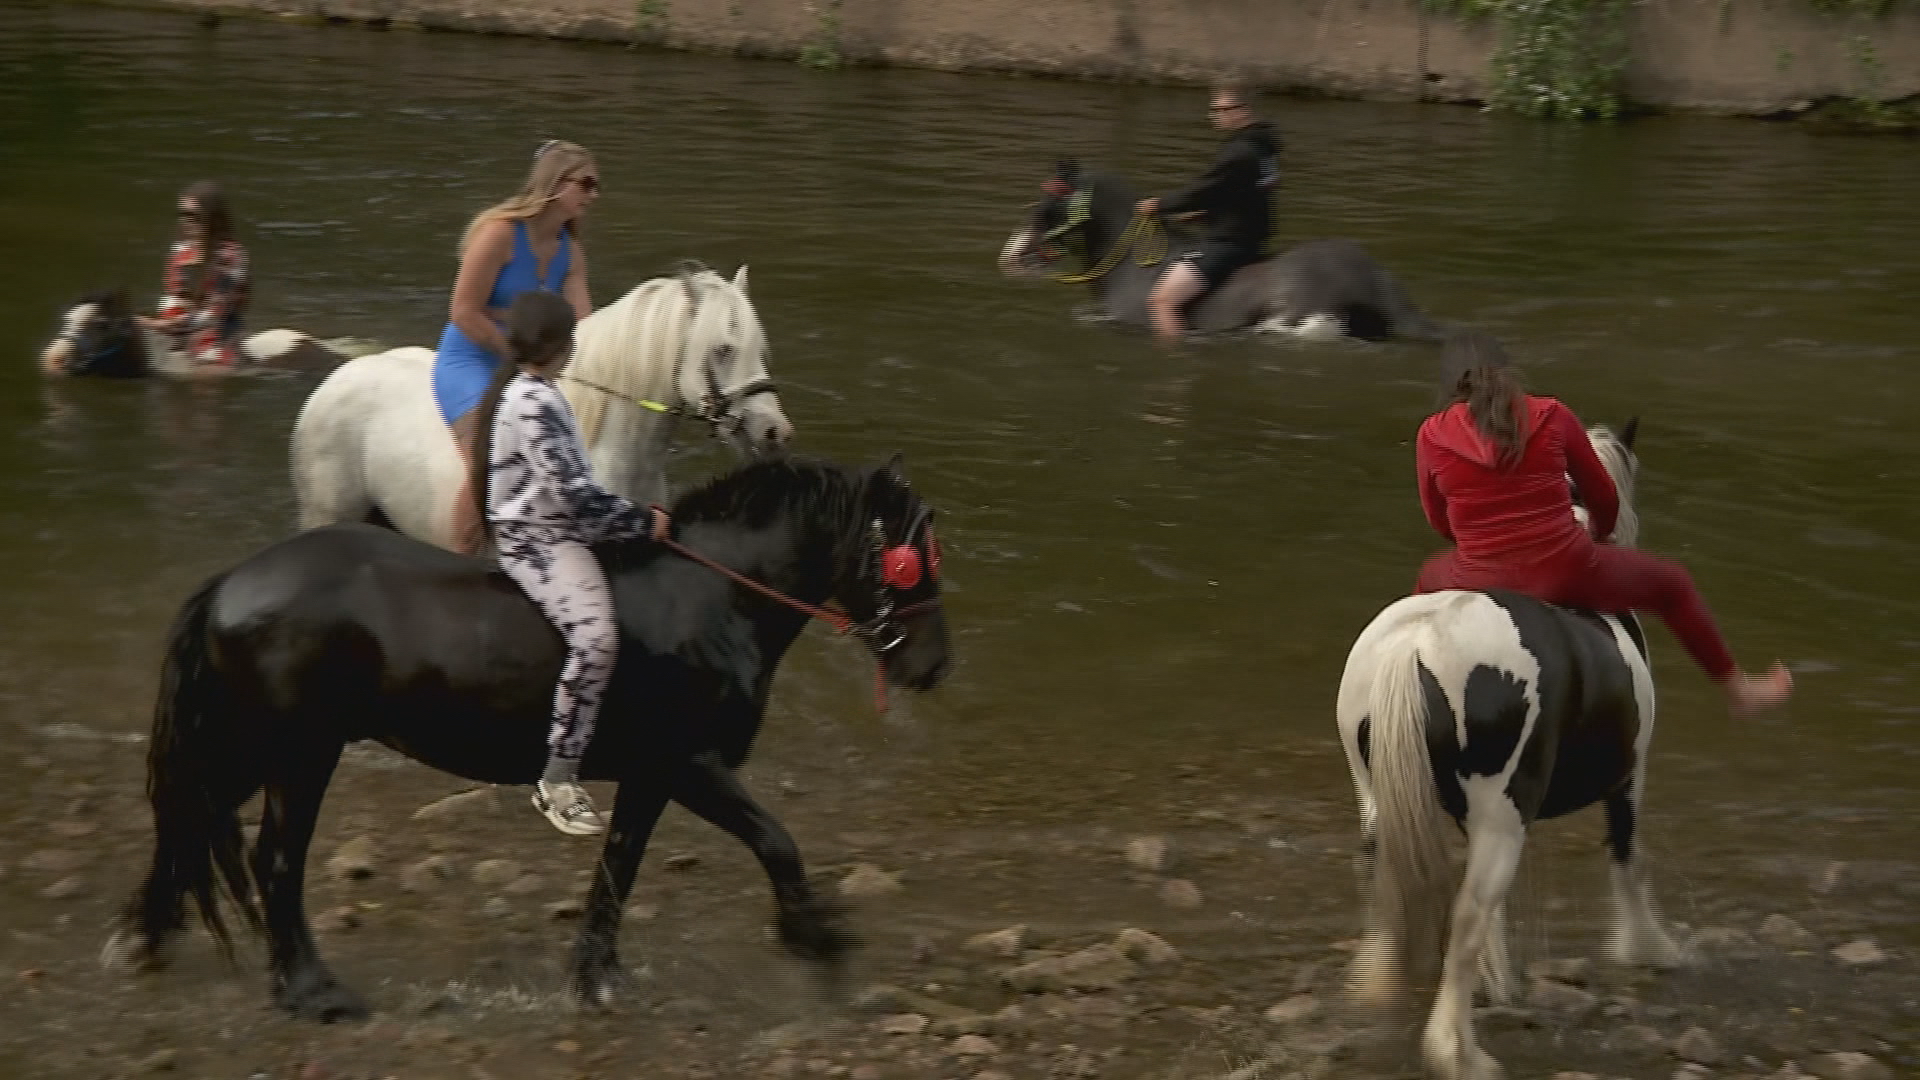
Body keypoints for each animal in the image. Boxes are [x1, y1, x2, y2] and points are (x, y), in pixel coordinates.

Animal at [101, 454, 952, 1021]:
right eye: (910, 562)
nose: (934, 665)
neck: (709, 597)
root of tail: (231, 584)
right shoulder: (690, 765)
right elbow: (776, 842)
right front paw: (818, 942)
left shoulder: (650, 776)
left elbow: (618, 870)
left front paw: (597, 979)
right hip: (299, 752)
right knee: (272, 859)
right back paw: (312, 990)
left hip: (251, 750)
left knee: (187, 824)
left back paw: (146, 939)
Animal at [1336, 418, 1686, 1080]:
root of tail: (1419, 644)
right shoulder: (1629, 783)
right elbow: (1626, 863)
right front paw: (1649, 947)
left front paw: (1500, 987)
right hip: (1503, 819)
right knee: (1468, 914)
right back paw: (1459, 1052)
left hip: (1381, 806)